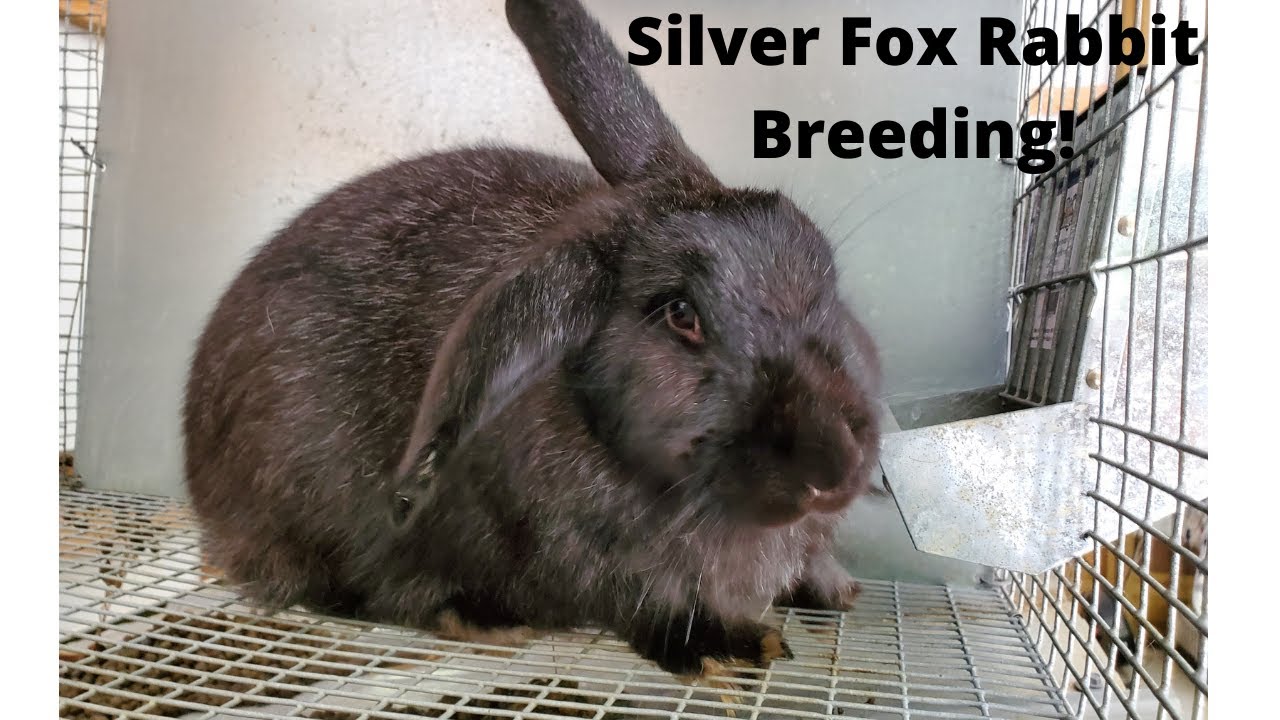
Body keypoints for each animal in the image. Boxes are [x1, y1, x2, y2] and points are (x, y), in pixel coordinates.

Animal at [183, 0, 881, 680]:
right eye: (681, 314)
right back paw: (480, 616)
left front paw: (833, 592)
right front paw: (727, 649)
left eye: (823, 271)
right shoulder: (593, 558)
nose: (833, 471)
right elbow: (652, 605)